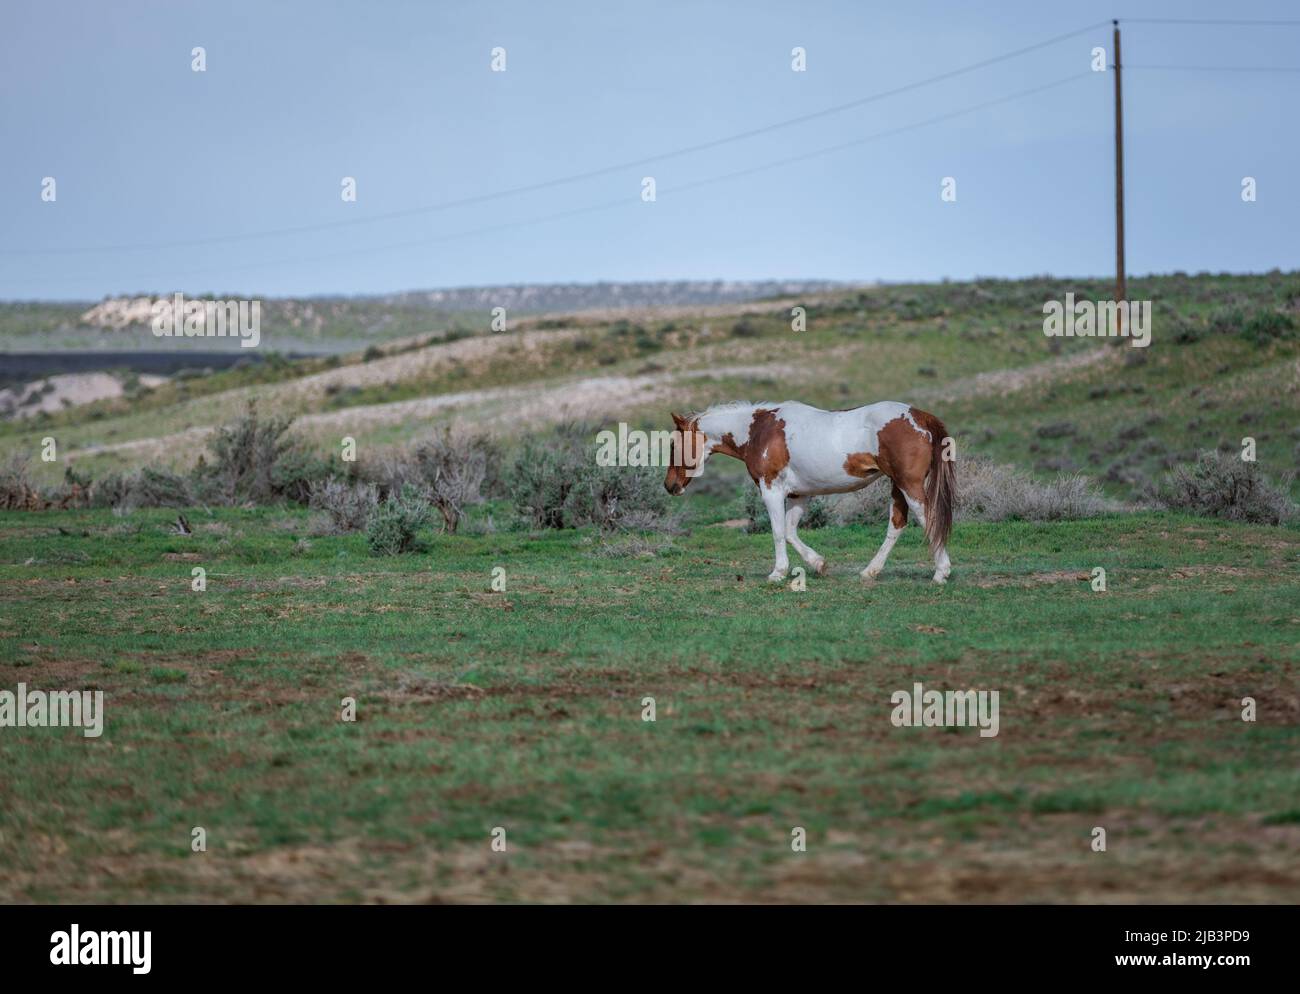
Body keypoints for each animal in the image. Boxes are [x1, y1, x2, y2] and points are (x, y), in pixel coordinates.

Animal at [664, 401, 955, 584]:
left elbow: (778, 531)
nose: (670, 486)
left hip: (909, 485)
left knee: (927, 518)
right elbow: (790, 532)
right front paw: (818, 564)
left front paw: (778, 572)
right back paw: (869, 572)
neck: (758, 431)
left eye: (673, 445)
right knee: (896, 525)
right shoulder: (799, 495)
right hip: (898, 486)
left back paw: (941, 573)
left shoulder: (771, 490)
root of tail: (920, 416)